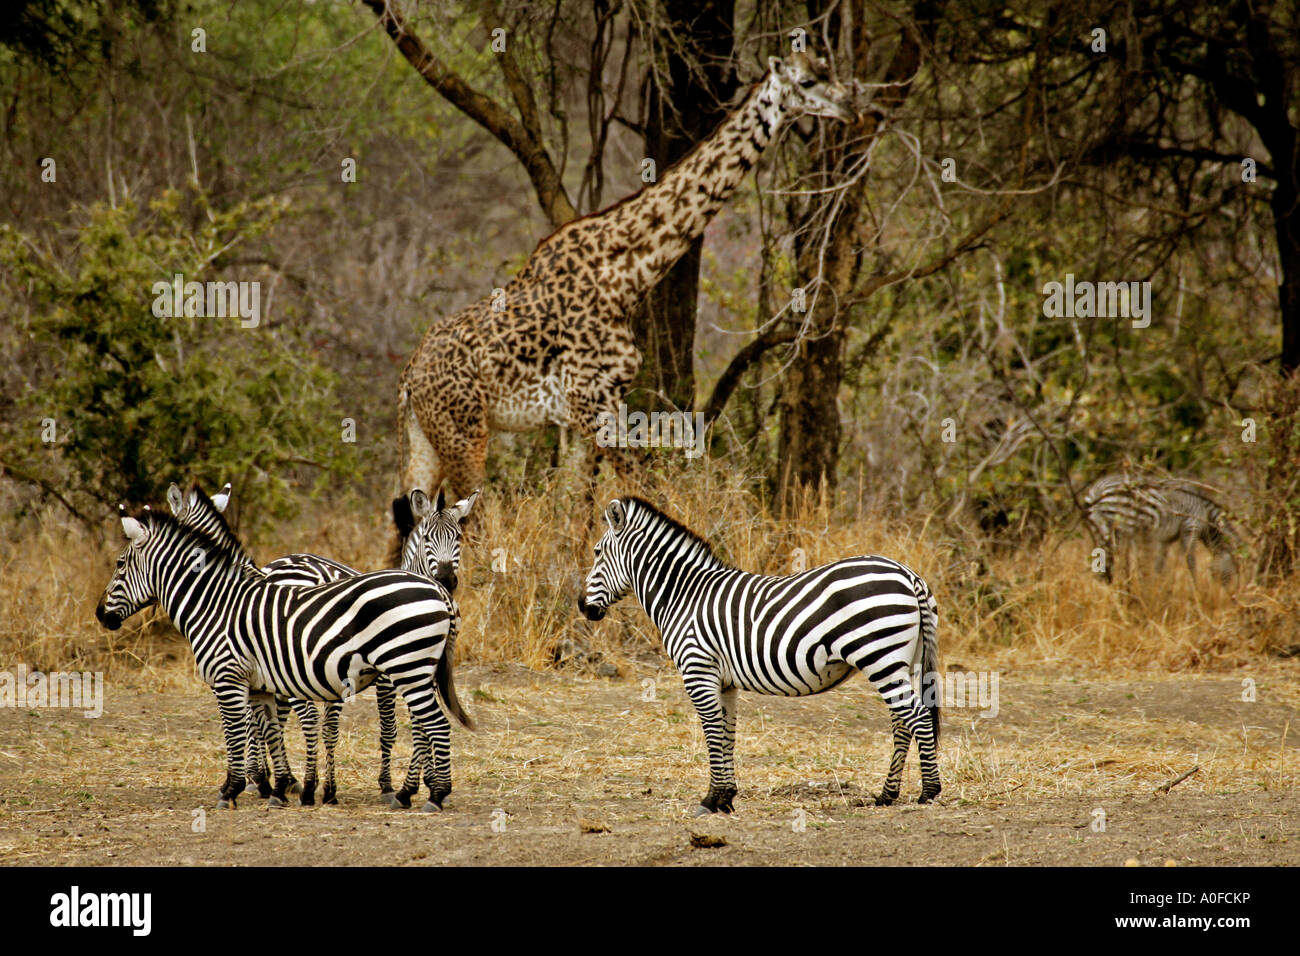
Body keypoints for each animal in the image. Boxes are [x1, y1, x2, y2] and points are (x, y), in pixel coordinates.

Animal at [397, 52, 857, 505]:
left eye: (829, 67)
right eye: (808, 81)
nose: (851, 107)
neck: (626, 275)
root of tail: (409, 377)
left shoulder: (586, 414)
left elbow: (576, 513)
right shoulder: (593, 404)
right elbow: (647, 494)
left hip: (426, 439)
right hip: (464, 432)